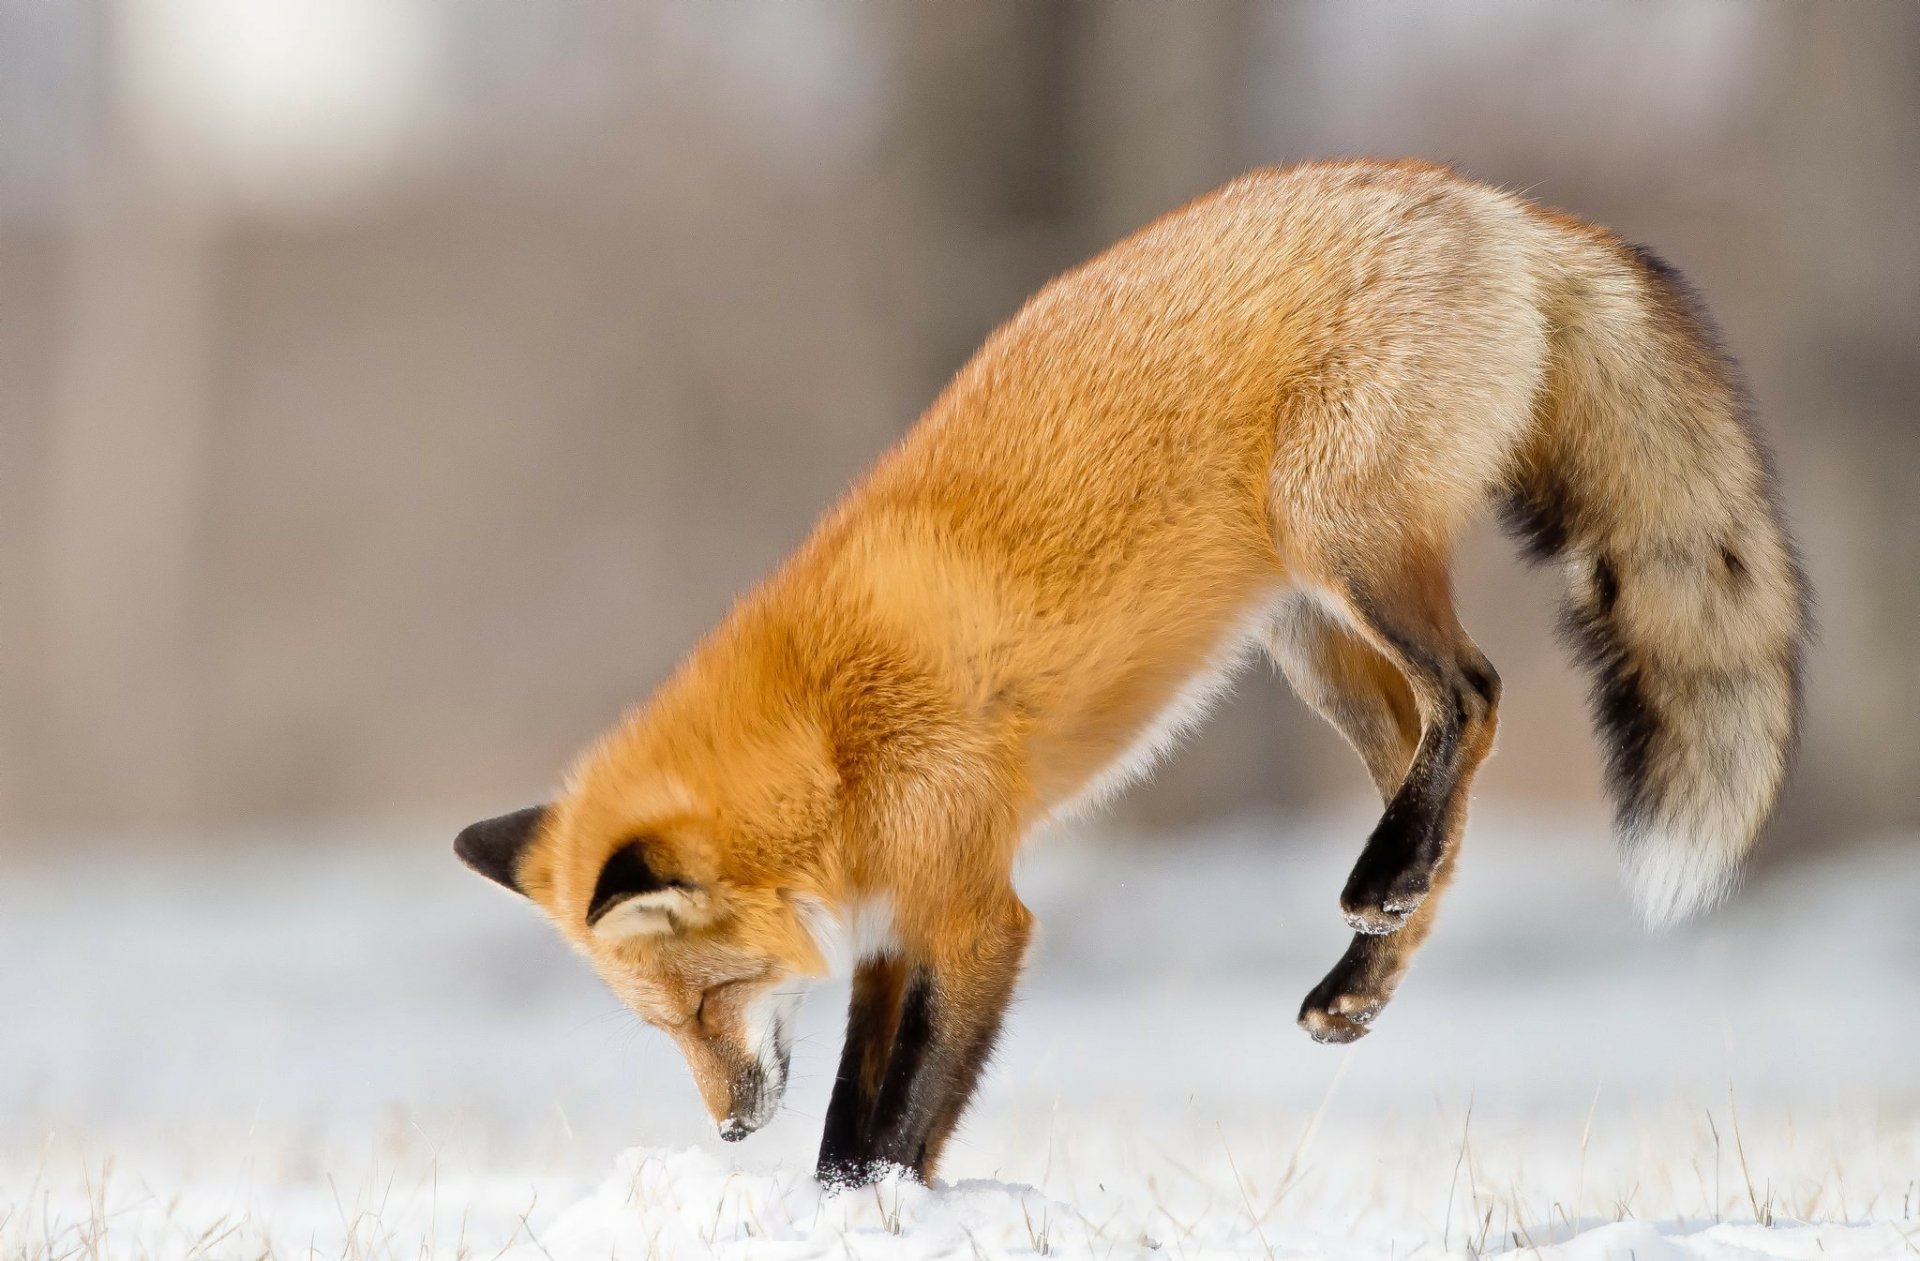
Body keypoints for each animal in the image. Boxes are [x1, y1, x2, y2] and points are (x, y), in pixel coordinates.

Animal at [455, 159, 1808, 1188]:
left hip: (1340, 538)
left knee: (1474, 689)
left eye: (703, 1003)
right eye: (662, 1024)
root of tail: (1484, 198)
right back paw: (1365, 966)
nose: (730, 1128)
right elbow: (852, 1113)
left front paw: (880, 1206)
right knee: (1444, 766)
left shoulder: (976, 913)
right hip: (1312, 637)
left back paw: (1382, 878)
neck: (828, 734)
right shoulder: (897, 926)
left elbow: (895, 1124)